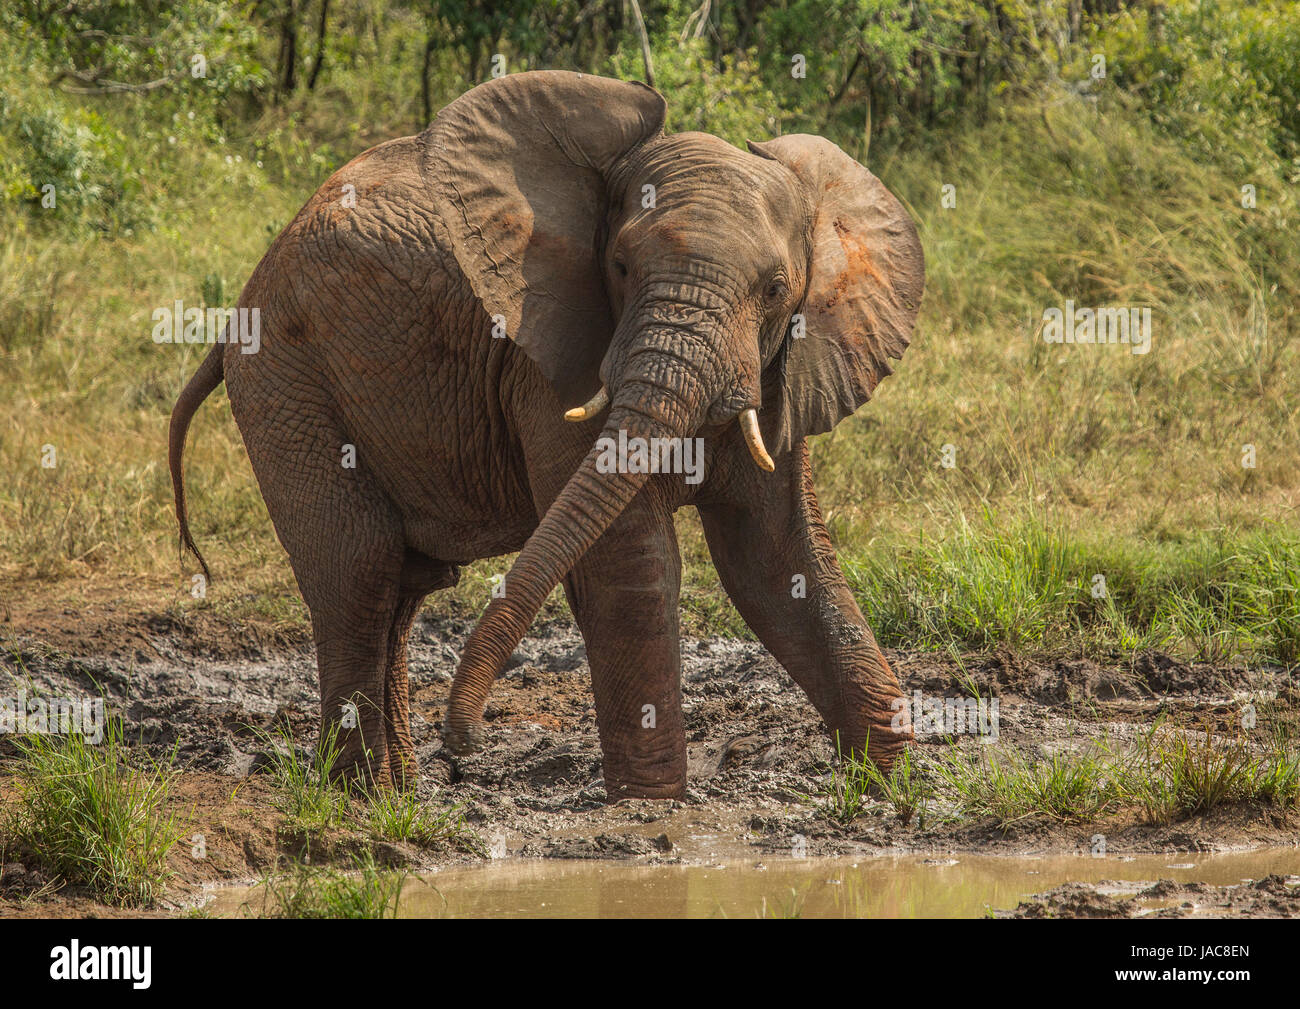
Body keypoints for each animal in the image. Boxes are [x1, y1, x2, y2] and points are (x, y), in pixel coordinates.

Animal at [168, 70, 924, 799]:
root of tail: (244, 297)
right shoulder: (545, 363)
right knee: (357, 571)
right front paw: (652, 808)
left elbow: (777, 557)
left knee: (400, 592)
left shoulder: (784, 369)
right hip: (287, 380)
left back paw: (402, 795)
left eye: (774, 288)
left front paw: (883, 784)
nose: (465, 742)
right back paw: (360, 799)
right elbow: (633, 564)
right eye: (619, 268)